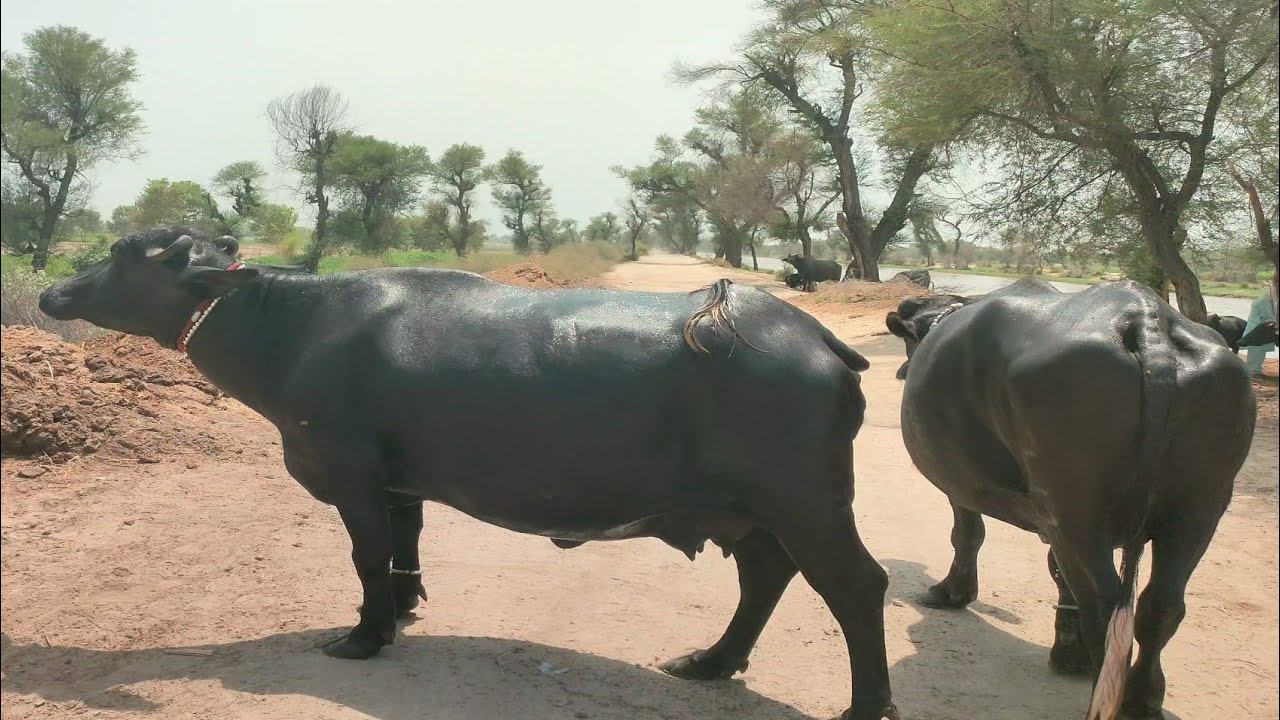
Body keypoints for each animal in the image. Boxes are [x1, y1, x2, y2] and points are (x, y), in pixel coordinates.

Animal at [39, 227, 898, 720]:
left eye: (118, 253)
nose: (51, 291)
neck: (294, 331)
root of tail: (813, 335)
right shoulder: (399, 481)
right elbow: (403, 547)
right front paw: (406, 609)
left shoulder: (352, 474)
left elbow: (365, 556)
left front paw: (365, 634)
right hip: (752, 510)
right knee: (765, 575)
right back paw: (711, 662)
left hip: (809, 502)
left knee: (856, 586)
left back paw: (866, 706)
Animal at [888, 277, 1255, 720]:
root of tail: (1145, 320)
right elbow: (1058, 571)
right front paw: (1068, 651)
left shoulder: (964, 487)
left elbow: (968, 534)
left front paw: (951, 592)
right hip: (1199, 509)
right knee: (1161, 605)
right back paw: (1141, 698)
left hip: (1076, 511)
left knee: (1104, 608)